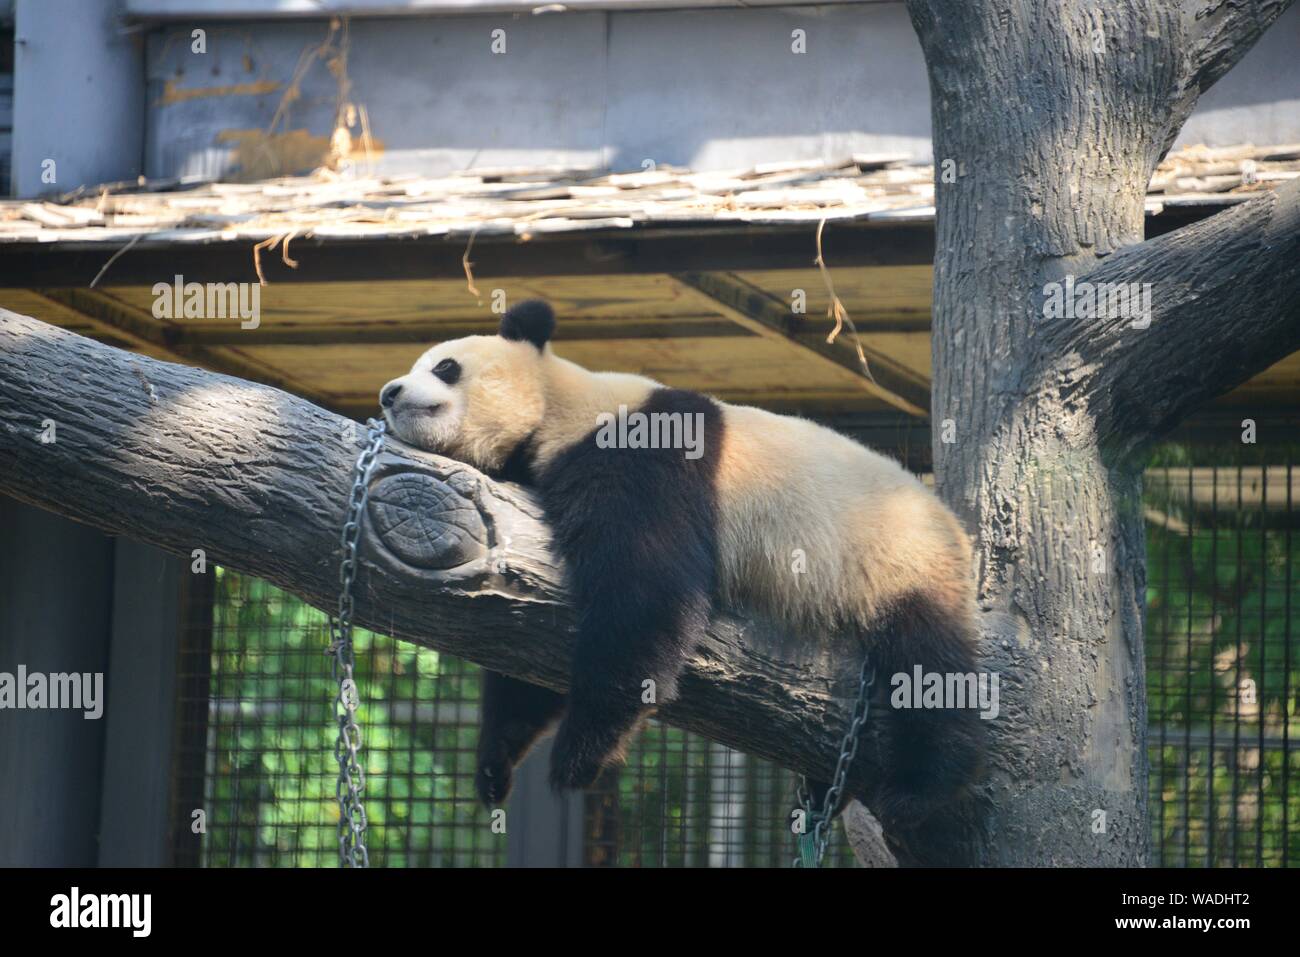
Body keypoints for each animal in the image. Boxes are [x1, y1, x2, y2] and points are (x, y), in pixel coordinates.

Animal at [379, 299, 984, 831]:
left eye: (445, 366)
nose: (388, 392)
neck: (560, 408)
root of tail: (955, 530)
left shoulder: (637, 457)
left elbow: (647, 591)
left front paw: (580, 757)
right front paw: (494, 763)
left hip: (902, 563)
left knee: (928, 667)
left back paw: (921, 789)